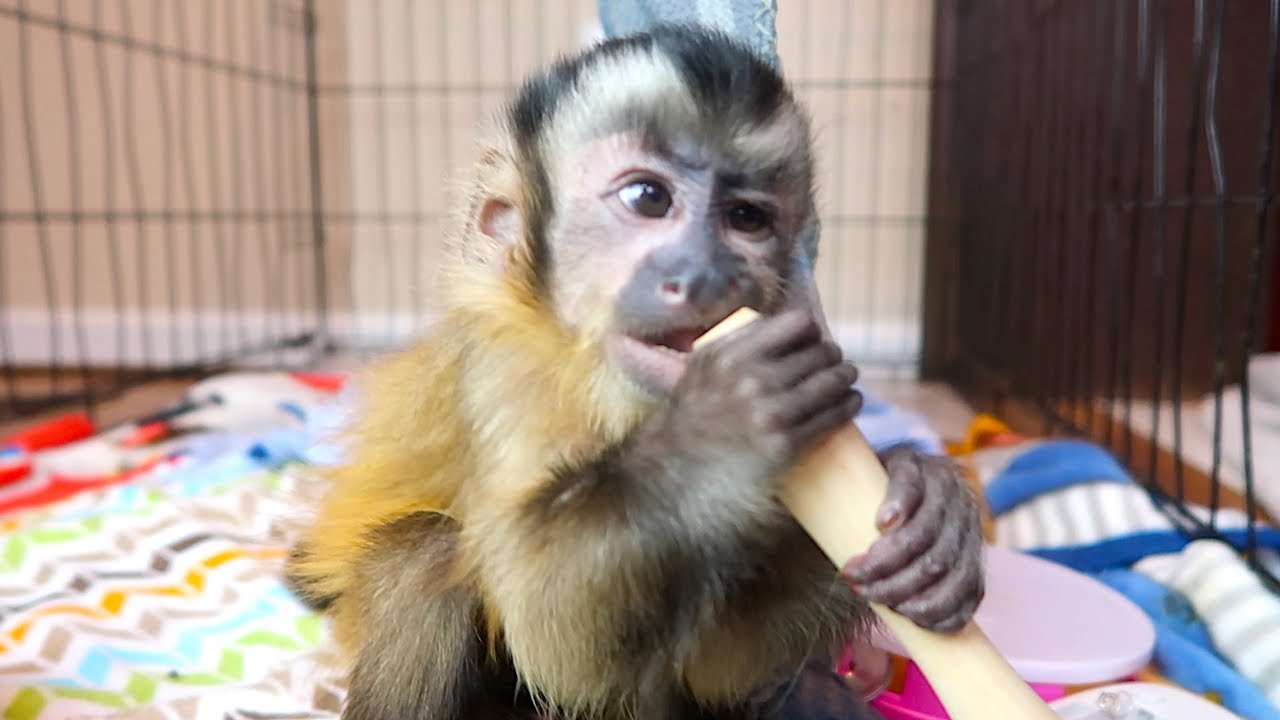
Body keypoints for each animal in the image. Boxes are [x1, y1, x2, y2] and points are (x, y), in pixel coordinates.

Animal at [285, 24, 985, 720]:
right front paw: (718, 429)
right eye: (648, 198)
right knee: (424, 554)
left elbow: (716, 668)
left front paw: (928, 503)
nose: (705, 275)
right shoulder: (506, 368)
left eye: (747, 219)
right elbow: (556, 641)